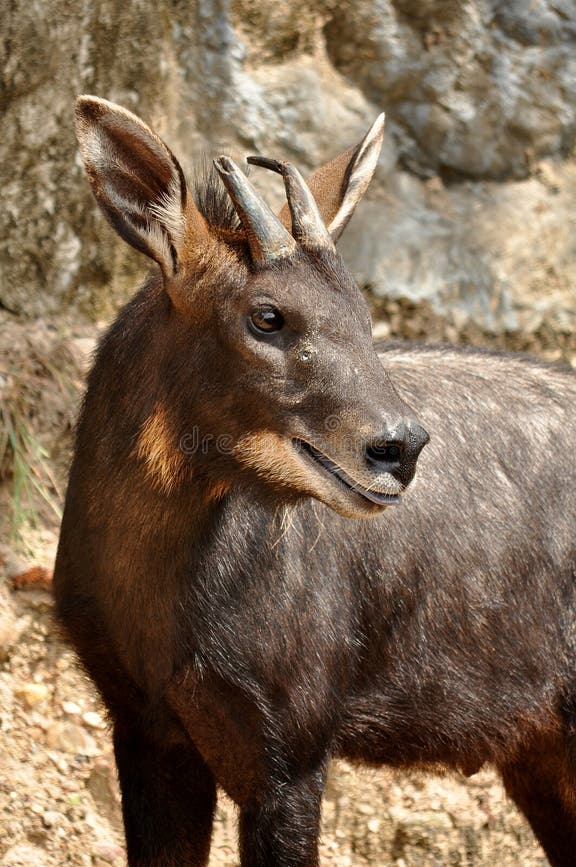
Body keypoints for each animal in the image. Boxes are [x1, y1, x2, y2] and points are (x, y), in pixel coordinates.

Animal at [54, 96, 576, 867]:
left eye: (363, 315)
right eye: (266, 314)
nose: (399, 447)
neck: (160, 612)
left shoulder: (291, 749)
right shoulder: (147, 726)